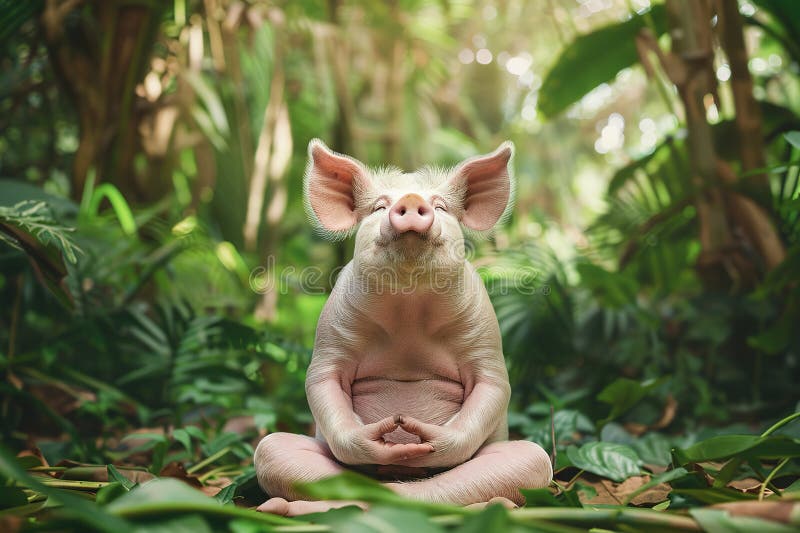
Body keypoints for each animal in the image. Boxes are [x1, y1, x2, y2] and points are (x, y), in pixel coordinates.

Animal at [254, 140, 552, 516]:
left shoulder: (484, 333)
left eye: (440, 206)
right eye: (379, 206)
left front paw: (415, 431)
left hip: (524, 459)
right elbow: (322, 380)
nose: (410, 199)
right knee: (274, 449)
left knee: (526, 461)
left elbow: (494, 385)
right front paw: (389, 430)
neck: (409, 310)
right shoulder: (332, 331)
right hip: (282, 453)